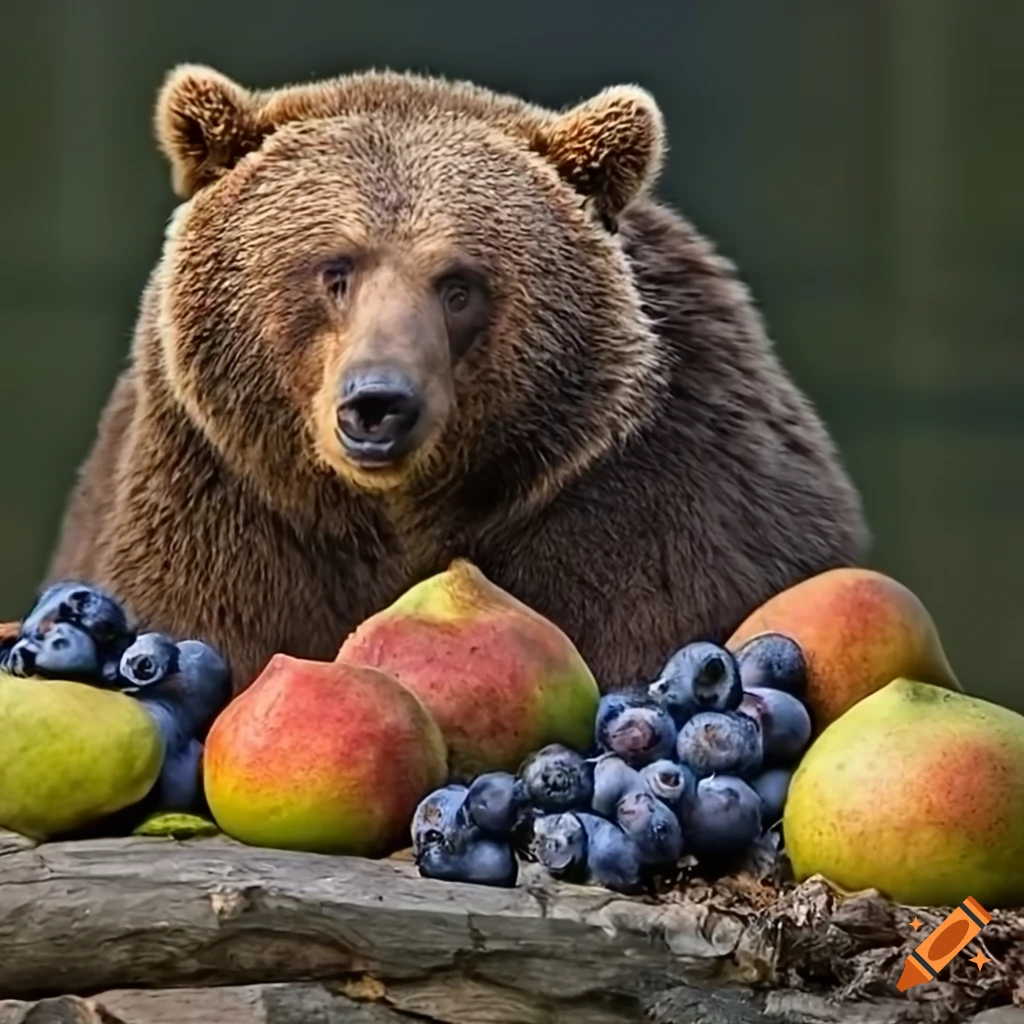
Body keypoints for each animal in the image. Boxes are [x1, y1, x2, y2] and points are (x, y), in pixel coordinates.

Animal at [45, 63, 869, 693]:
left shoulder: (654, 507)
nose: (379, 403)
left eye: (459, 284)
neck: (402, 515)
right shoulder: (230, 509)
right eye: (334, 269)